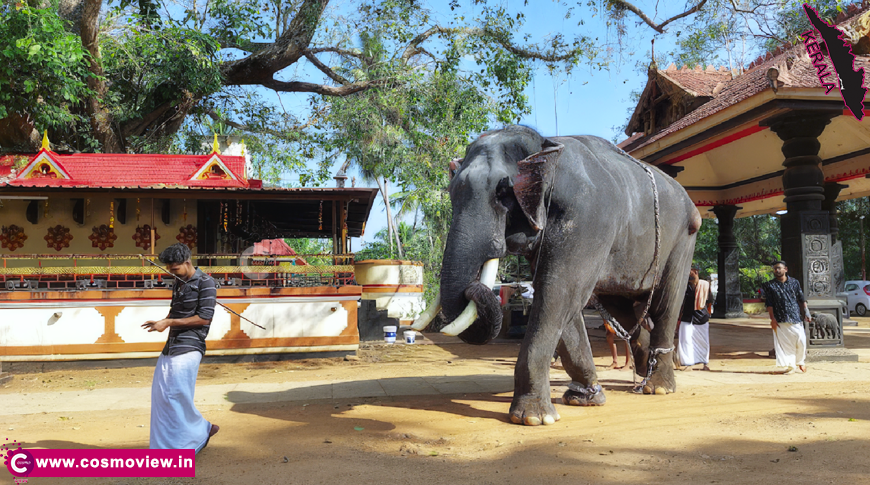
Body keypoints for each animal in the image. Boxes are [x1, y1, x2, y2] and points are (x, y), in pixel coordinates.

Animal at [412, 124, 704, 424]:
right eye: (452, 193)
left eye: (503, 192)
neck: (546, 146)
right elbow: (564, 298)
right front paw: (584, 398)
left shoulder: (589, 216)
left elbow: (557, 291)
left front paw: (533, 418)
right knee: (620, 306)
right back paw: (643, 374)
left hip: (683, 238)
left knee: (666, 303)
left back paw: (658, 387)